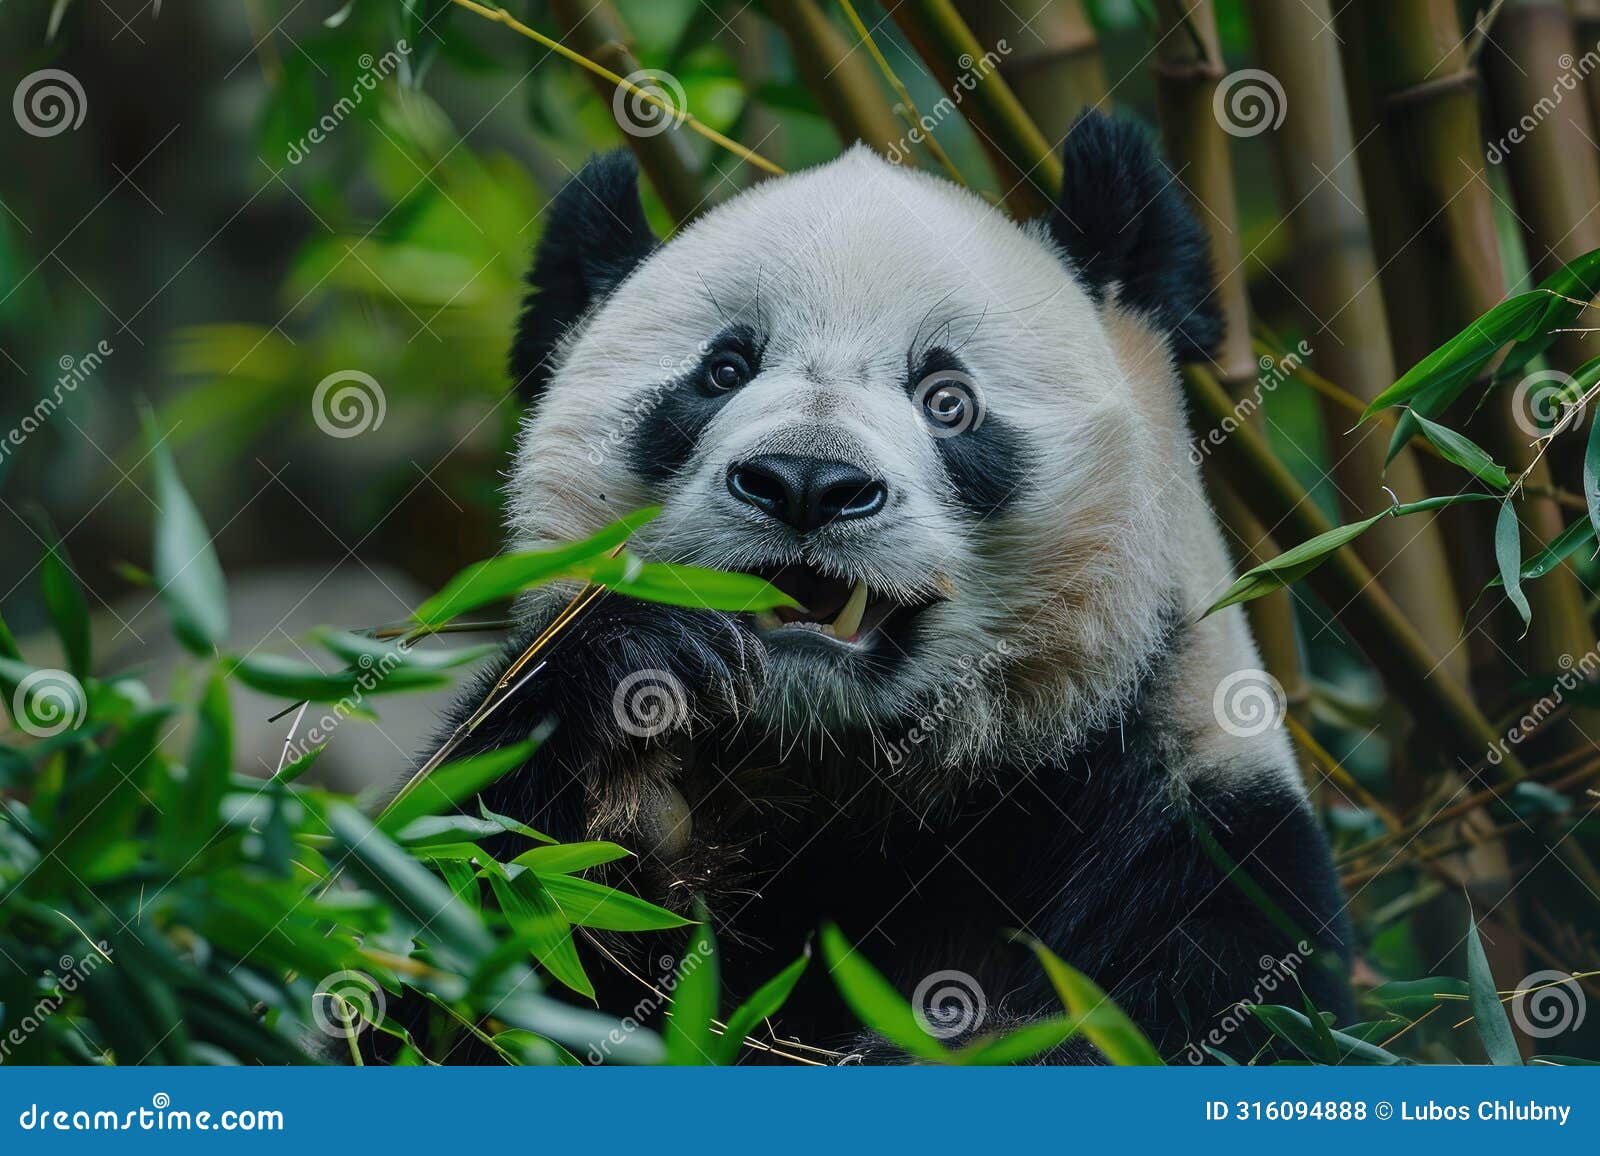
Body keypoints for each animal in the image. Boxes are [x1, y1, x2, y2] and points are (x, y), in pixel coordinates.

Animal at [437, 109, 1352, 1064]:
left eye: (948, 400)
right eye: (723, 371)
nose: (805, 482)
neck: (833, 764)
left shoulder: (1194, 827)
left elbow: (1182, 1014)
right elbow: (473, 898)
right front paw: (638, 701)